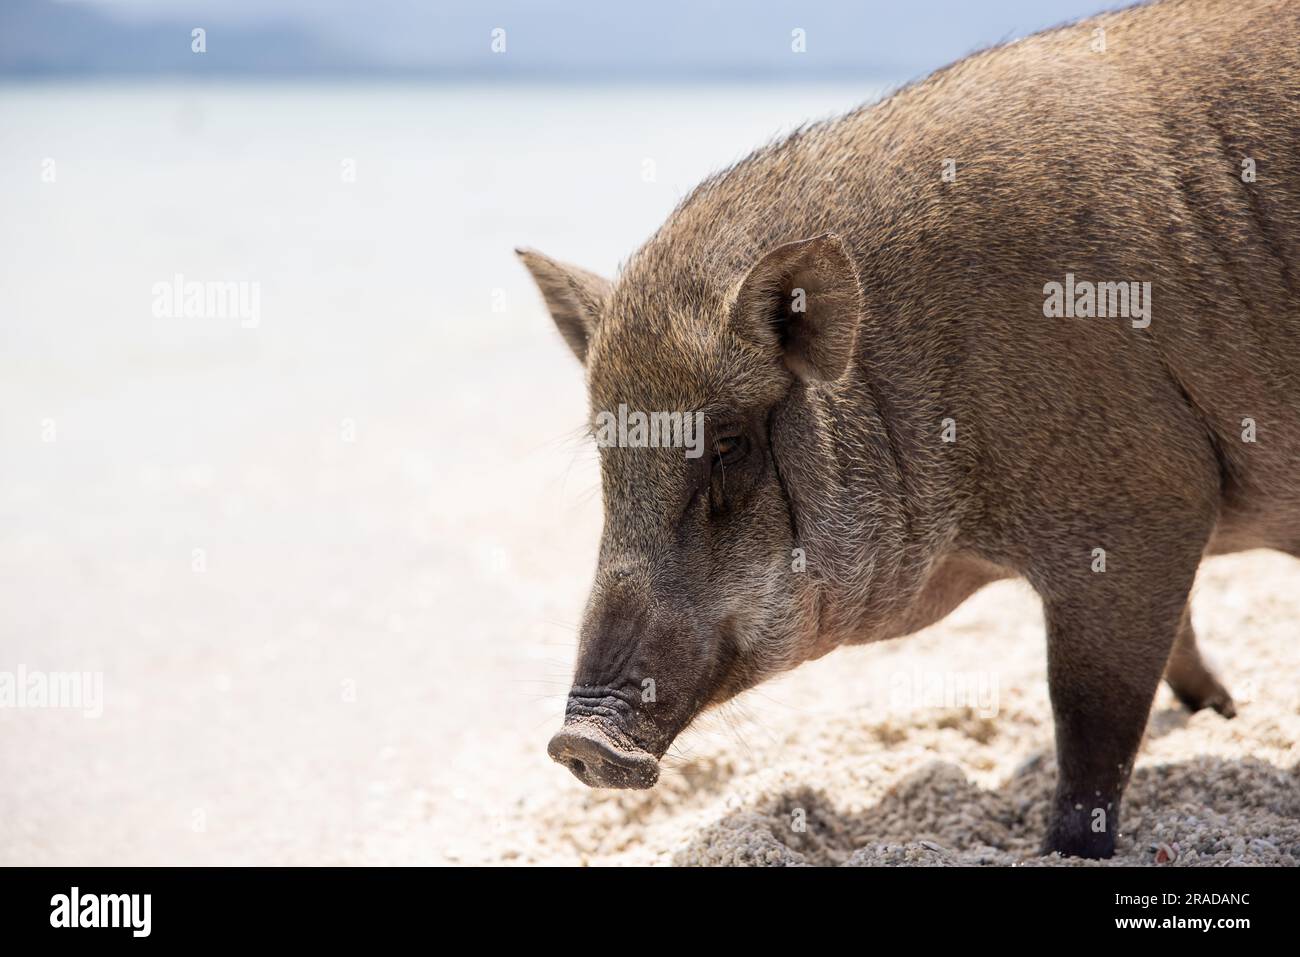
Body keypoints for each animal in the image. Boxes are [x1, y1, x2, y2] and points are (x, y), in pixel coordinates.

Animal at [518, 0, 1300, 859]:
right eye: (609, 453)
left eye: (727, 445)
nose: (579, 742)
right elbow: (1173, 641)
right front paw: (1220, 710)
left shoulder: (1143, 499)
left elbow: (1091, 714)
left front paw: (1065, 846)